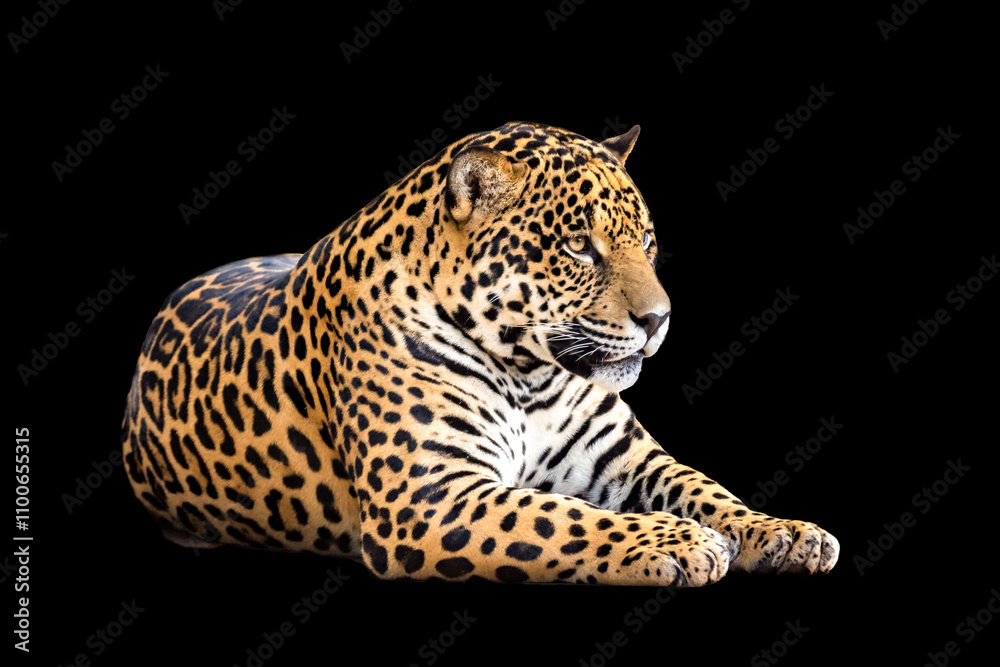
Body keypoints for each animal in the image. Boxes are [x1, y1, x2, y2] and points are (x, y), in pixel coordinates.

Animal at [122, 121, 839, 585]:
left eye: (648, 241)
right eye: (578, 247)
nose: (659, 319)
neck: (530, 374)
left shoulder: (626, 459)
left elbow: (705, 486)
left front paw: (785, 531)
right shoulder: (429, 497)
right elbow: (564, 518)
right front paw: (680, 539)